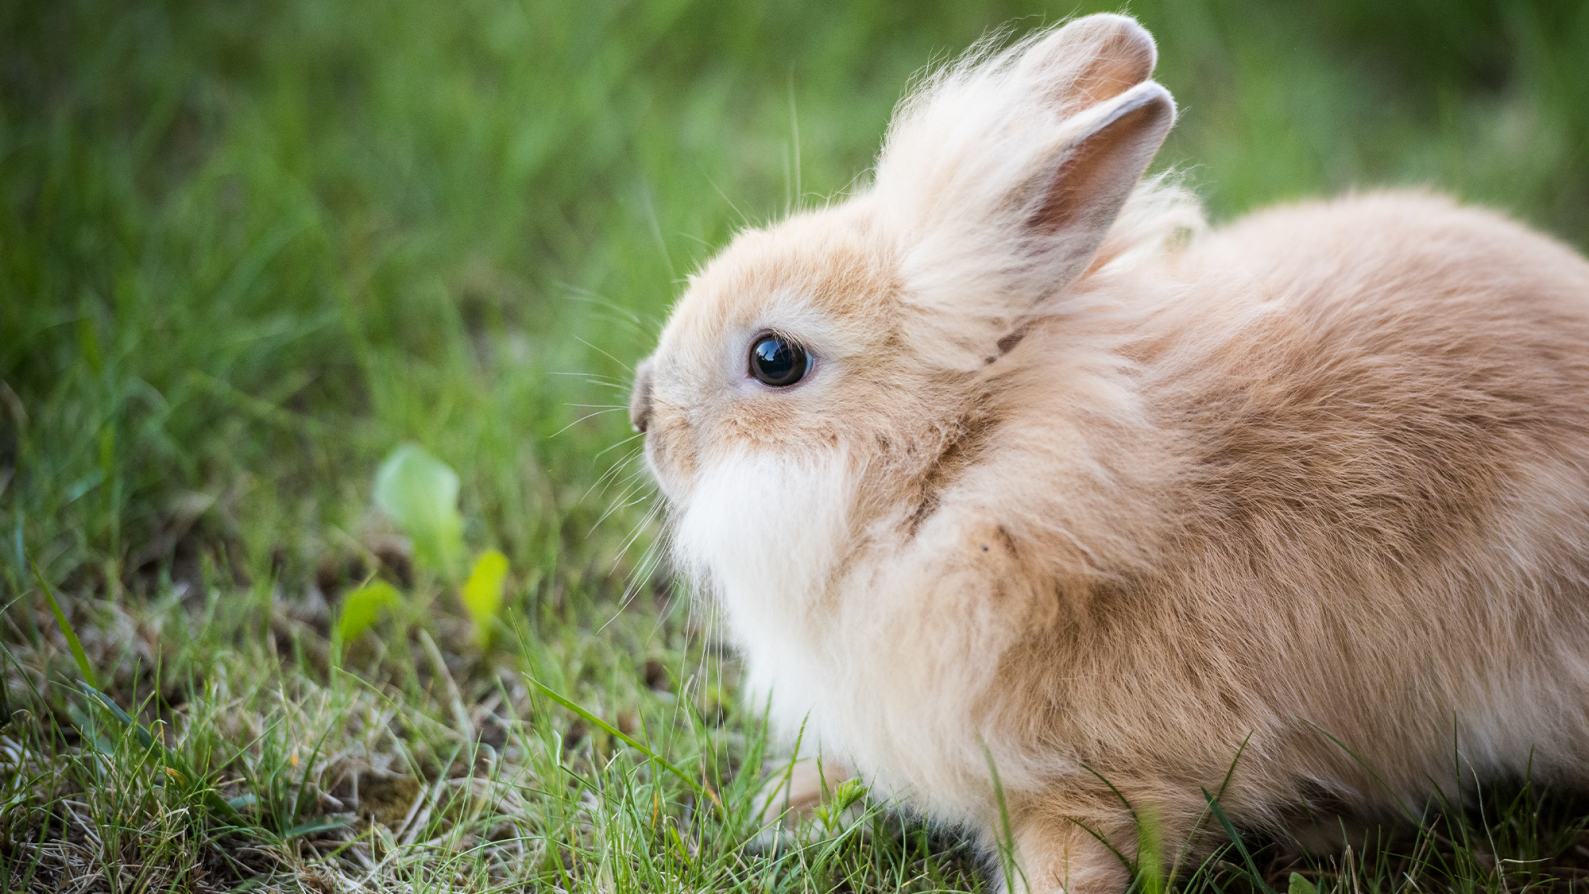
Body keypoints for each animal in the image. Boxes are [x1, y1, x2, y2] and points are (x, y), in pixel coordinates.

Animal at [627, 12, 1589, 893]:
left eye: (774, 359)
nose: (642, 412)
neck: (965, 479)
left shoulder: (1109, 783)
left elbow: (1071, 859)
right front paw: (786, 806)